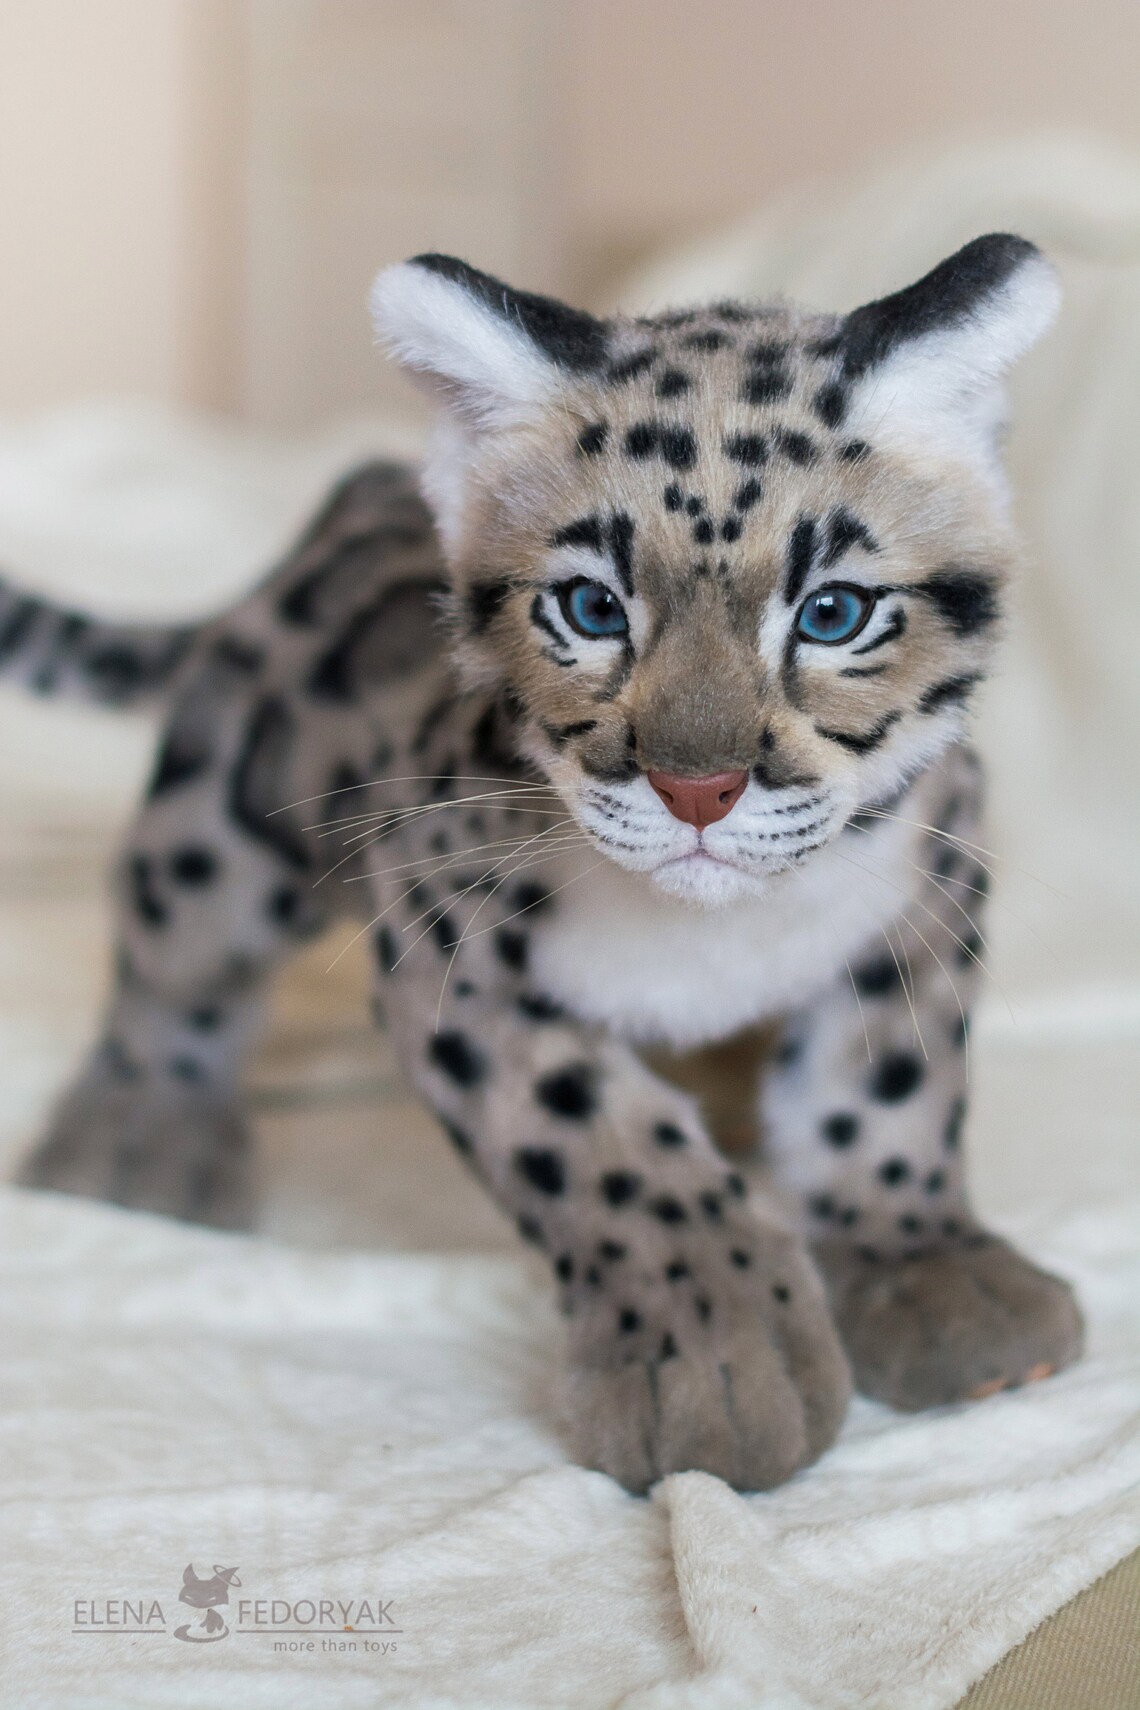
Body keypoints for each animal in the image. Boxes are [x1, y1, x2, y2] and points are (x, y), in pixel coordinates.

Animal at [3, 233, 1083, 1493]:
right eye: (588, 606)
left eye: (833, 612)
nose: (699, 786)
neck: (717, 938)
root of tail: (348, 501)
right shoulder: (446, 941)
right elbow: (597, 1142)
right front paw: (720, 1361)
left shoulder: (931, 880)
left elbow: (892, 1091)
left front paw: (929, 1268)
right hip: (224, 818)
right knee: (174, 949)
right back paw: (135, 1148)